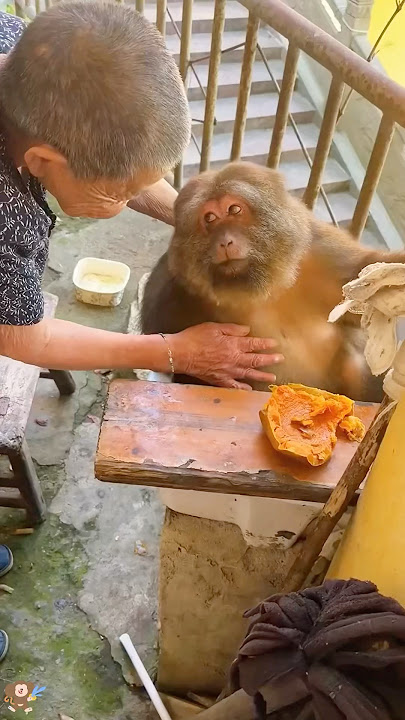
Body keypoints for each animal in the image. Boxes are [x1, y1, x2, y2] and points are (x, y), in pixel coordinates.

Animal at [141, 161, 405, 402]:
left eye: (234, 210)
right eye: (210, 218)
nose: (225, 242)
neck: (261, 290)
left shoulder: (319, 246)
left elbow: (357, 288)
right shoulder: (175, 284)